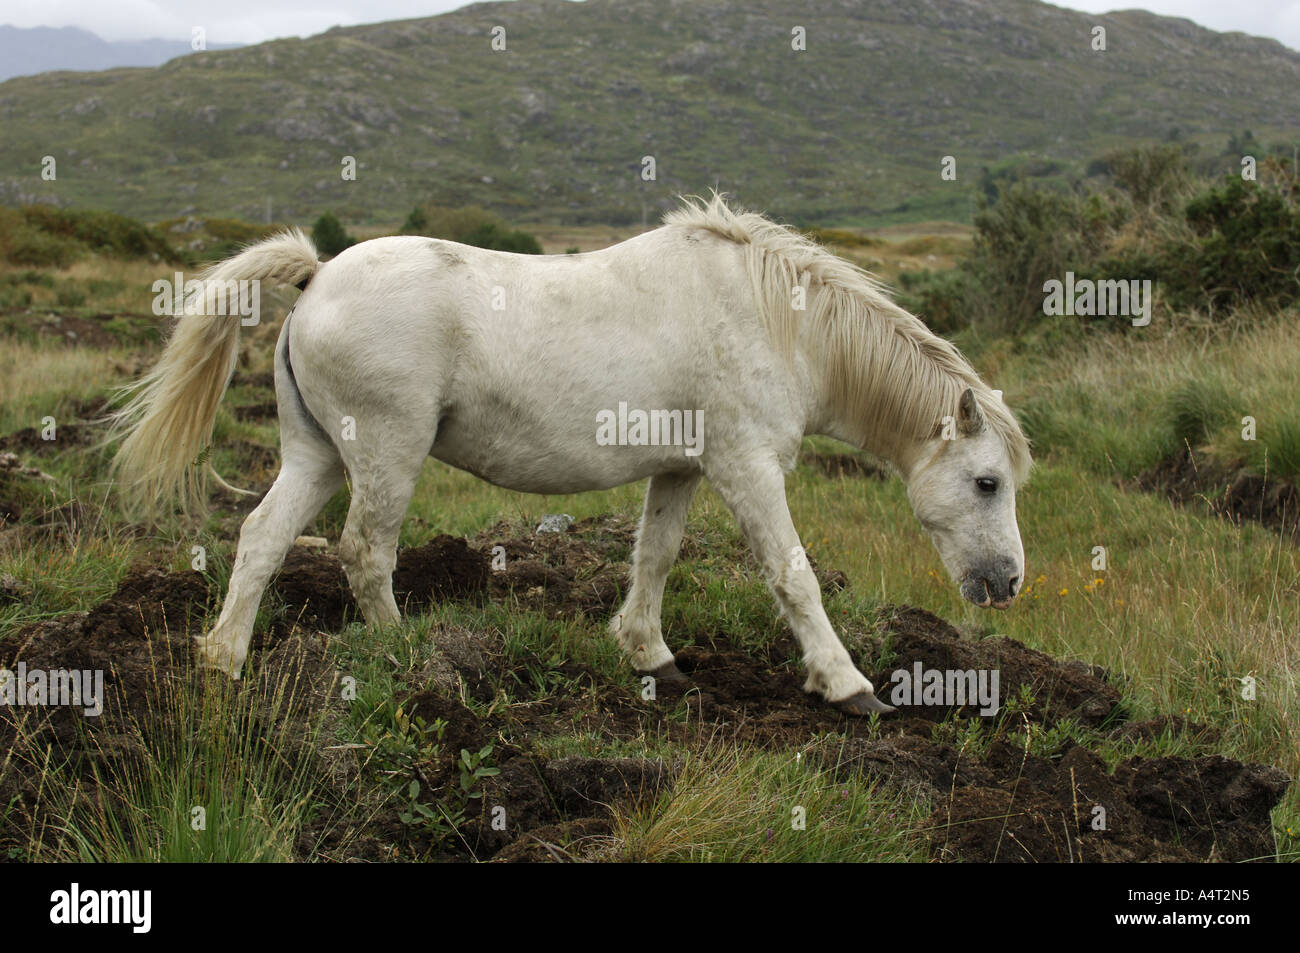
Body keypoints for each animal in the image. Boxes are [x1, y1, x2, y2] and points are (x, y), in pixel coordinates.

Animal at [110, 194, 1032, 715]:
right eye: (987, 481)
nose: (1008, 584)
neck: (777, 321)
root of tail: (317, 275)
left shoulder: (683, 469)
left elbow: (655, 557)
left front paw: (649, 654)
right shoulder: (747, 468)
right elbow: (793, 575)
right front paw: (850, 687)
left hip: (318, 457)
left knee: (263, 538)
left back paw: (223, 662)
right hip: (384, 456)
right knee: (365, 552)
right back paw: (409, 658)